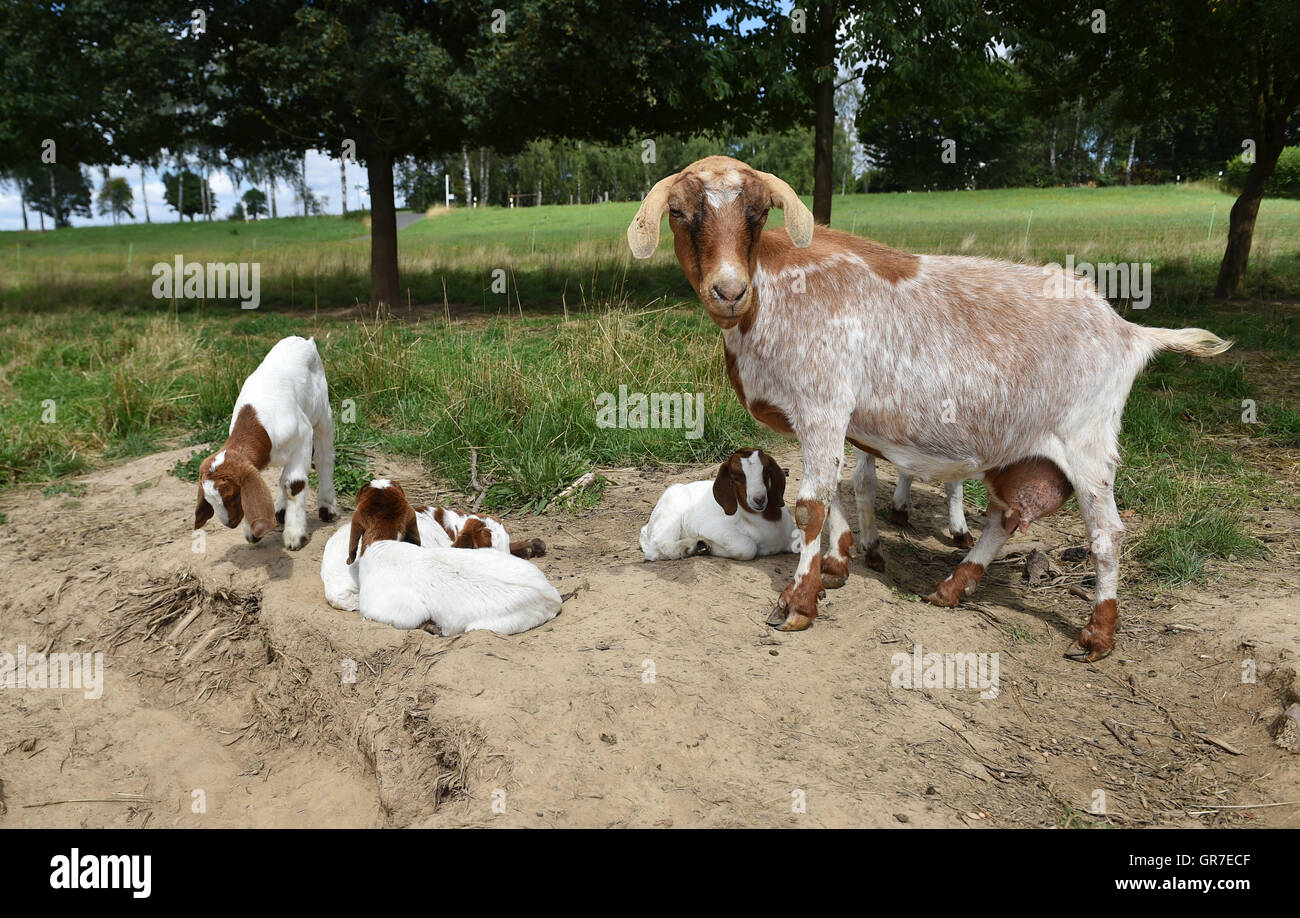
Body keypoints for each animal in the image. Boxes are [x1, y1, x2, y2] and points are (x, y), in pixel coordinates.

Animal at [193, 335, 337, 550]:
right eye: (209, 500)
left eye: (233, 495)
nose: (230, 524)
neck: (257, 421)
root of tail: (305, 341)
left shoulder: (303, 434)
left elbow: (294, 483)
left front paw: (295, 536)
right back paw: (281, 510)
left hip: (322, 412)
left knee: (324, 457)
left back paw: (327, 507)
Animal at [640, 448, 795, 561]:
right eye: (736, 478)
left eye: (765, 471)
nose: (759, 499)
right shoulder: (714, 528)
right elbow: (747, 548)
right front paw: (716, 549)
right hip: (670, 512)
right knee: (656, 548)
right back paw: (694, 546)